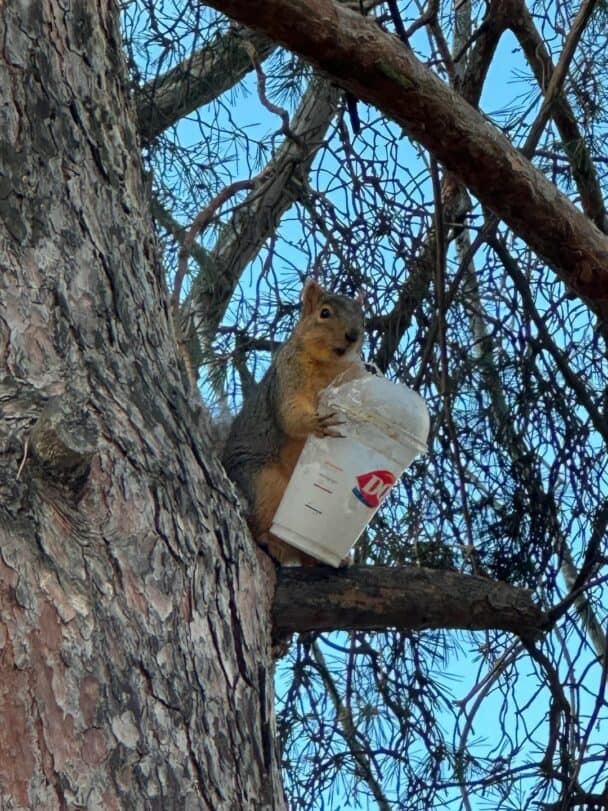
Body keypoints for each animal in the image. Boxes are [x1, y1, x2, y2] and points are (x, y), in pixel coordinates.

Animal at [222, 279, 364, 565]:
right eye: (324, 313)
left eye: (362, 317)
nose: (353, 334)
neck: (330, 365)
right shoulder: (288, 373)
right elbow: (290, 412)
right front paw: (315, 422)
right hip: (263, 482)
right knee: (260, 521)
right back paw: (270, 541)